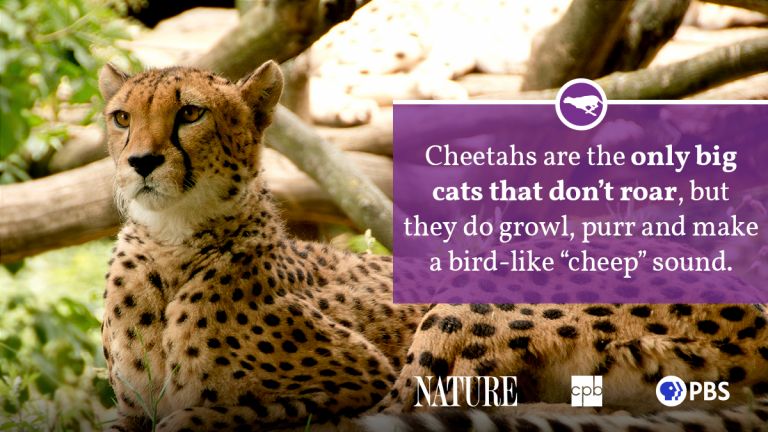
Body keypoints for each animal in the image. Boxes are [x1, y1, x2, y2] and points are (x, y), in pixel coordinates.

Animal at [99, 60, 768, 432]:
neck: (171, 244)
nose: (141, 162)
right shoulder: (129, 410)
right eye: (121, 118)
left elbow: (236, 408)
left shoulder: (360, 377)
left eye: (190, 113)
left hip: (470, 301)